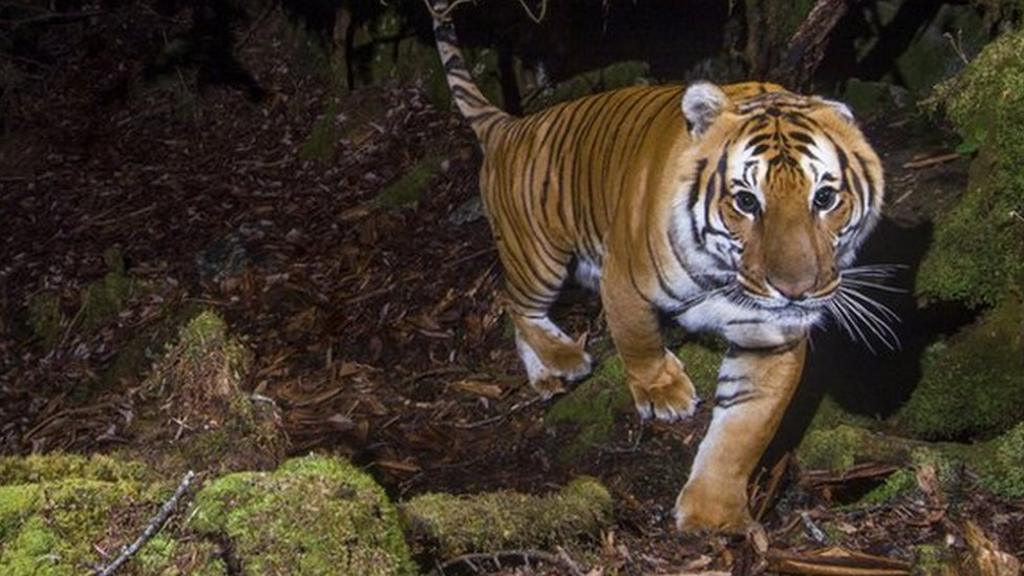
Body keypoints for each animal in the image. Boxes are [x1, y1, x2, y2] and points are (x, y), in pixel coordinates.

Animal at [429, 2, 884, 533]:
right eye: (747, 201)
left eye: (825, 197)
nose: (796, 290)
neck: (726, 277)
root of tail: (508, 126)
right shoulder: (625, 281)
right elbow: (638, 341)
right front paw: (663, 392)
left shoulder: (772, 334)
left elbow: (745, 428)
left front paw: (712, 515)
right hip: (540, 256)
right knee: (513, 302)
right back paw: (563, 358)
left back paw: (546, 375)